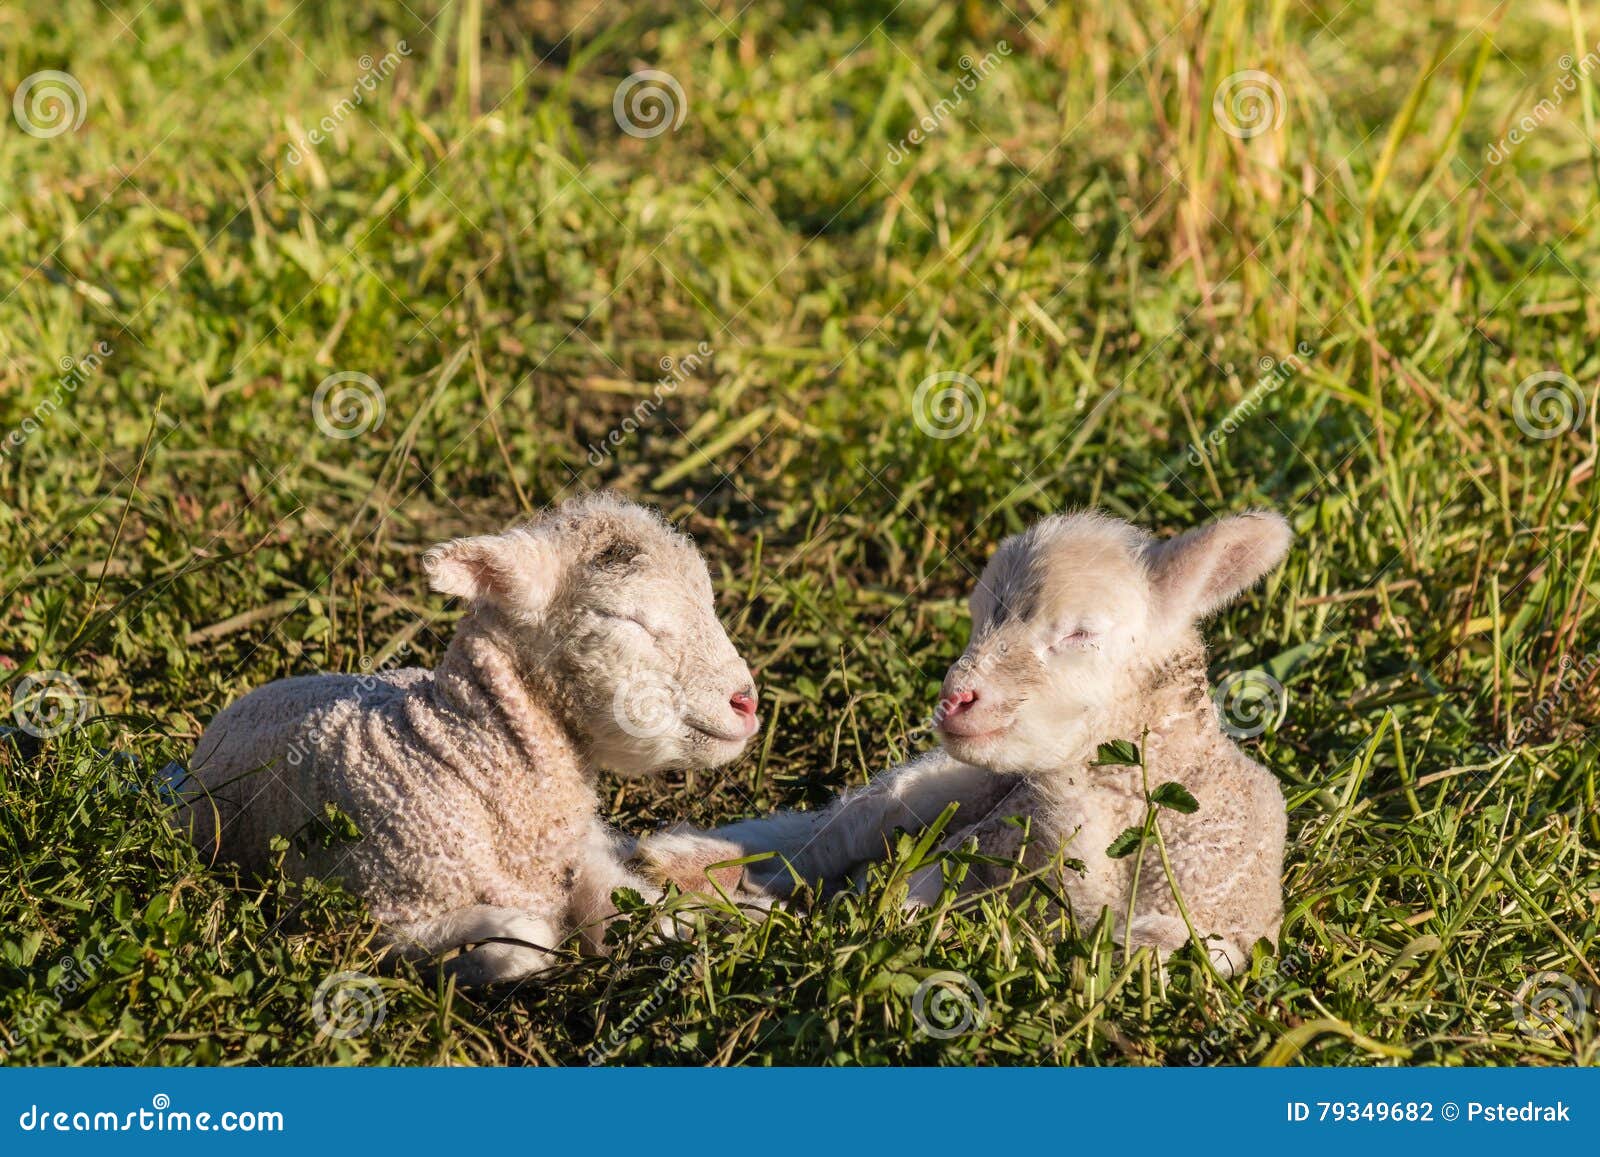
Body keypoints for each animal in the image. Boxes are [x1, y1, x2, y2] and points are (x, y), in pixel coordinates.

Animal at [178, 492, 760, 986]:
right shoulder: (383, 918)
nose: (747, 702)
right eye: (624, 618)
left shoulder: (581, 857)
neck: (461, 750)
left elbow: (644, 915)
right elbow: (528, 940)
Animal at [638, 509, 1291, 976]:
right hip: (933, 786)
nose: (955, 698)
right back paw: (686, 868)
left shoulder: (1203, 933)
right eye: (979, 619)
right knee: (824, 836)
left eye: (1080, 634)